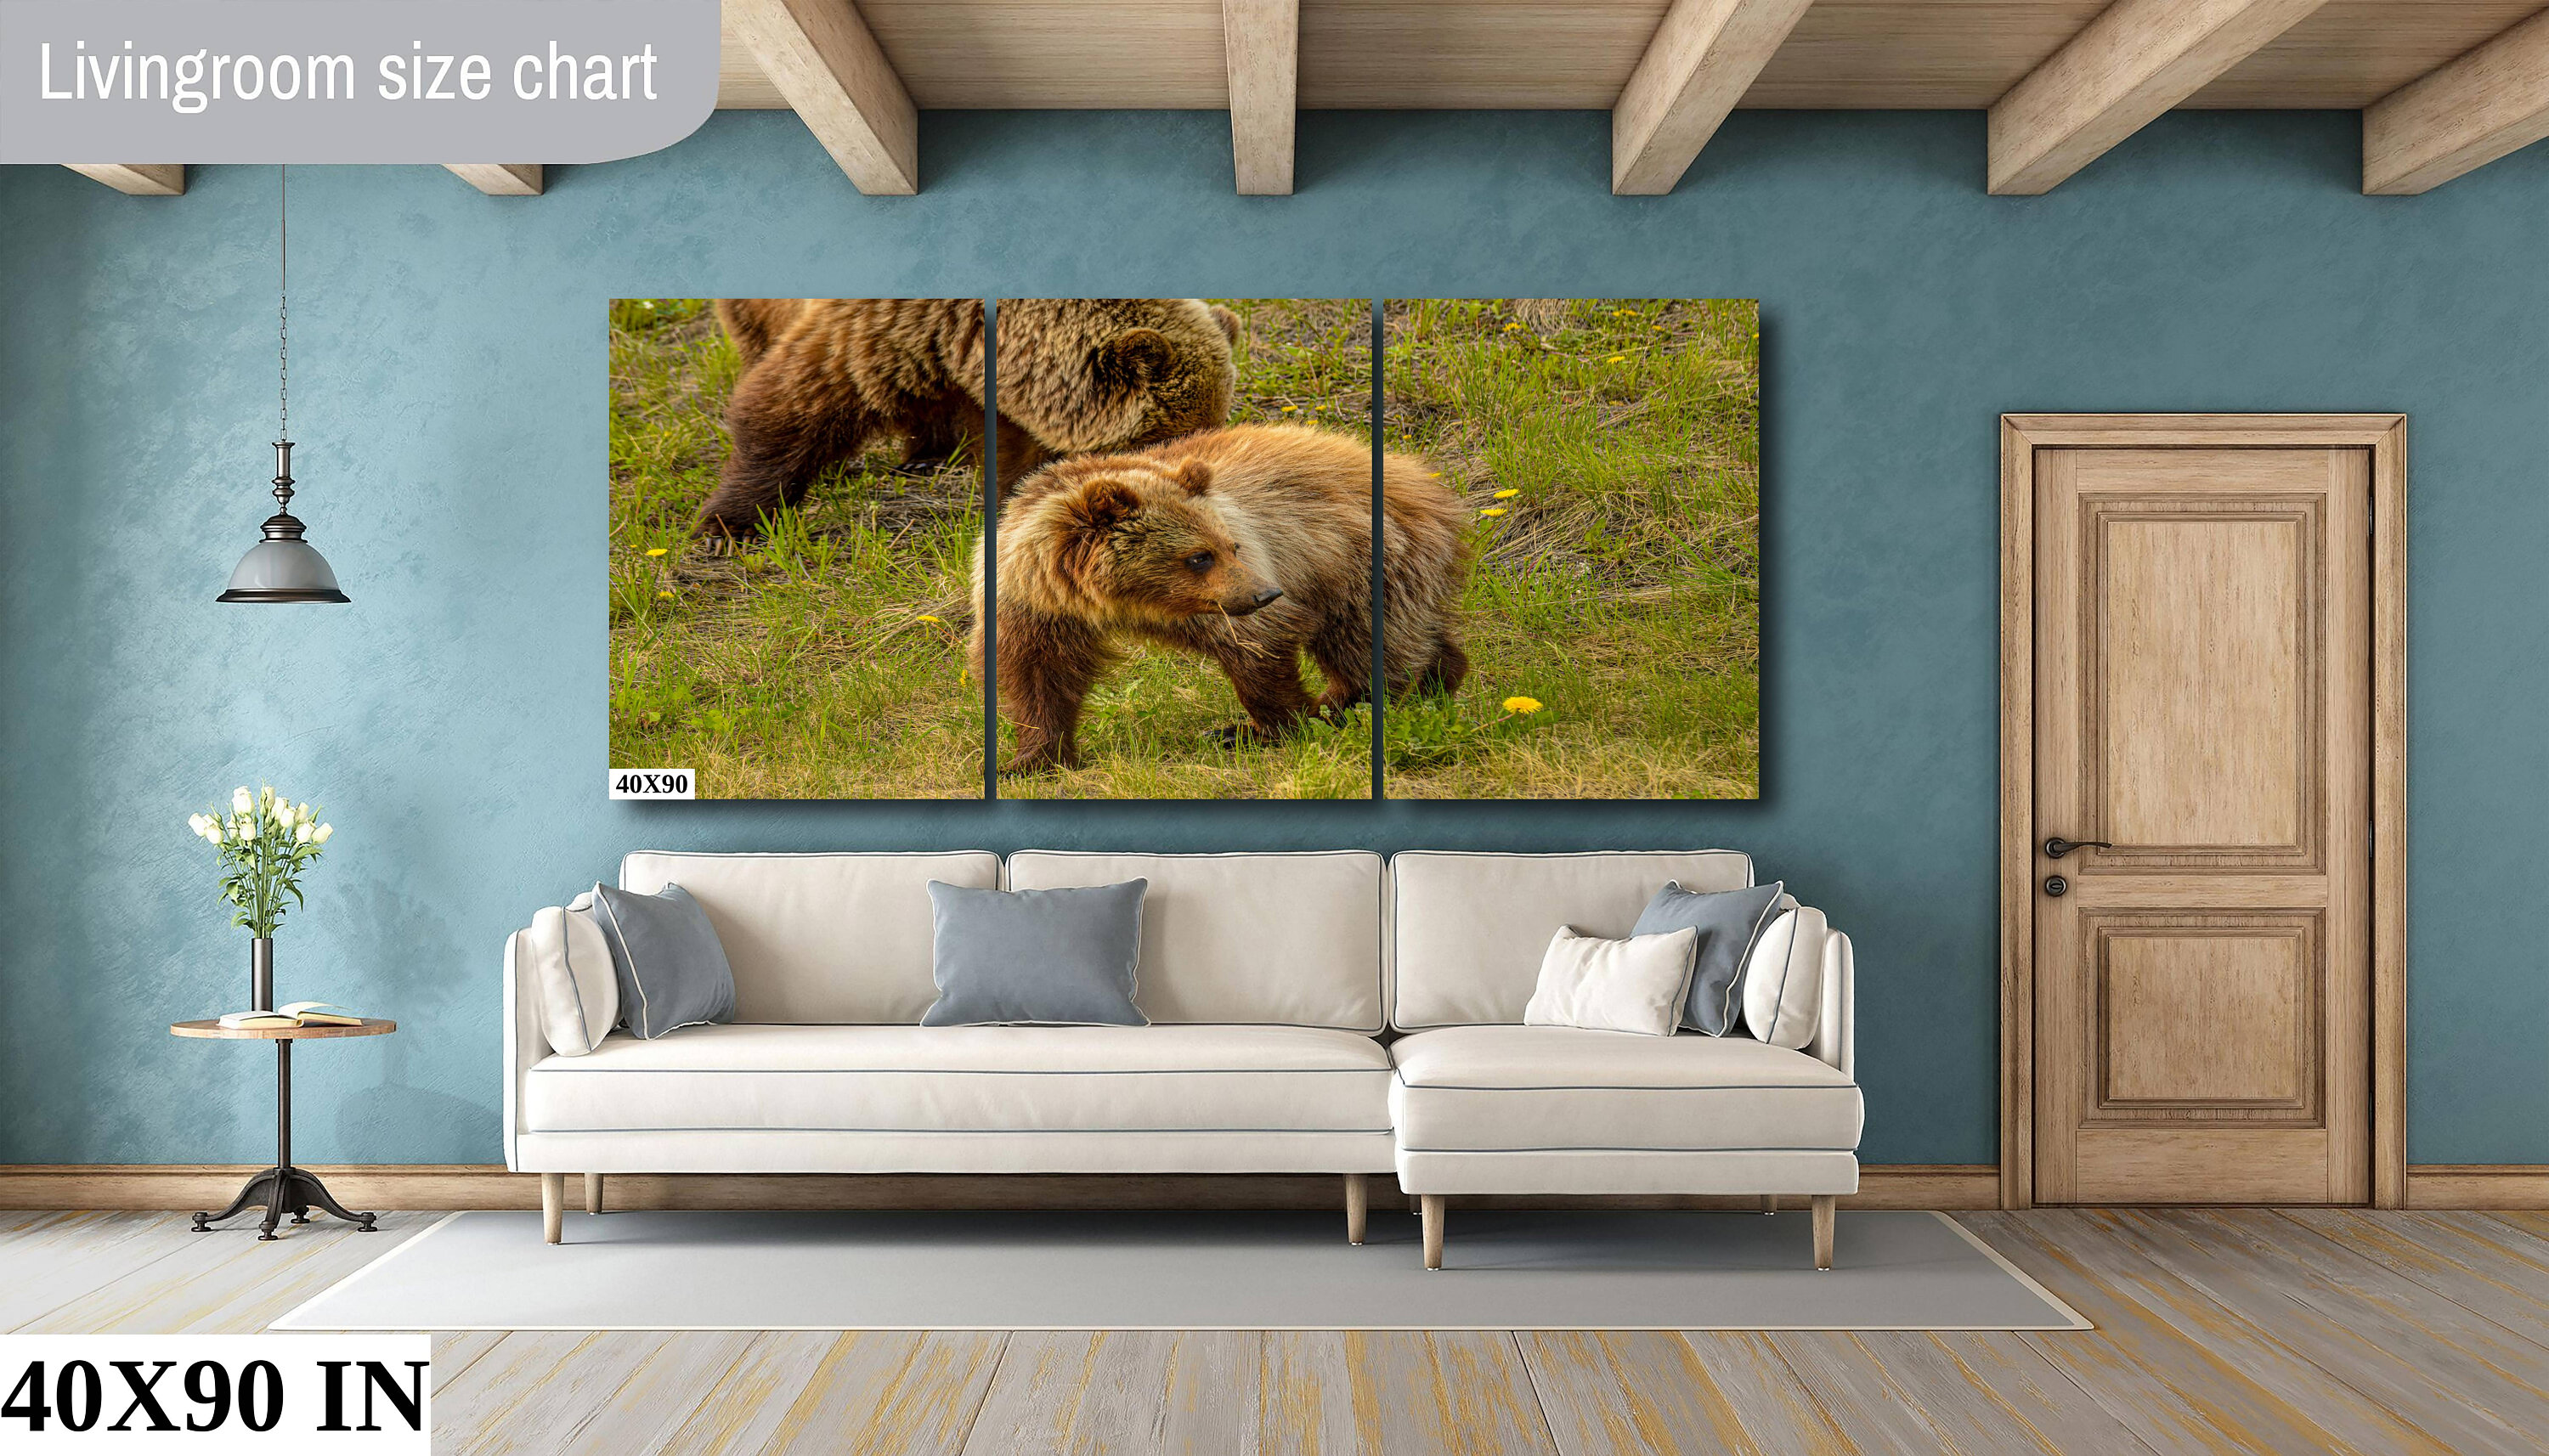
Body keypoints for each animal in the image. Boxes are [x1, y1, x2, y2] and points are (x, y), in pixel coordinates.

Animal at [972, 423, 1472, 775]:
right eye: (1199, 556)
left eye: (1231, 545)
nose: (1266, 593)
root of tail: (1423, 478)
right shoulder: (1033, 606)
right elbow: (1038, 675)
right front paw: (1032, 759)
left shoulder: (1223, 601)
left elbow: (1256, 648)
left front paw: (1269, 727)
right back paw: (1436, 675)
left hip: (1362, 560)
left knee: (1365, 642)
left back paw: (1357, 703)